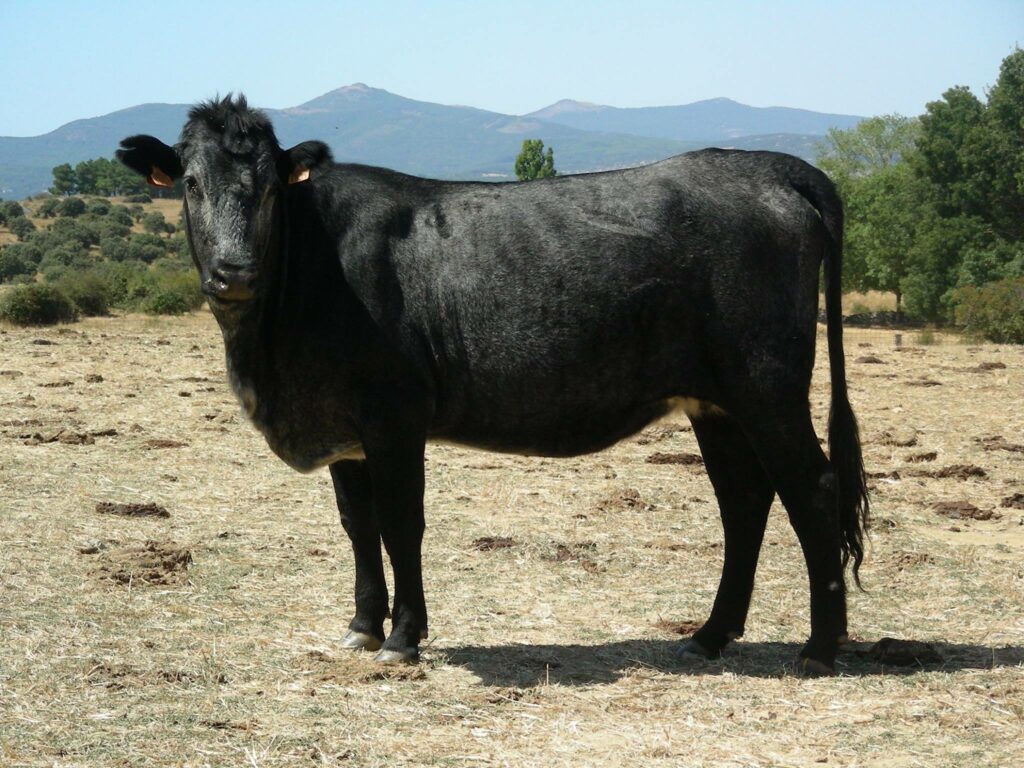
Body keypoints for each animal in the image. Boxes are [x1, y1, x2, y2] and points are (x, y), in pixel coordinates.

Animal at [117, 95, 868, 675]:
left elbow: (402, 522)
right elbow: (358, 525)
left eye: (271, 186)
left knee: (812, 489)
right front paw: (361, 627)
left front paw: (402, 637)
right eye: (190, 182)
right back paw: (709, 636)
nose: (234, 271)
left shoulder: (394, 417)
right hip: (716, 404)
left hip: (767, 388)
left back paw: (819, 647)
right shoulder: (344, 429)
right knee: (744, 500)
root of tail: (764, 166)